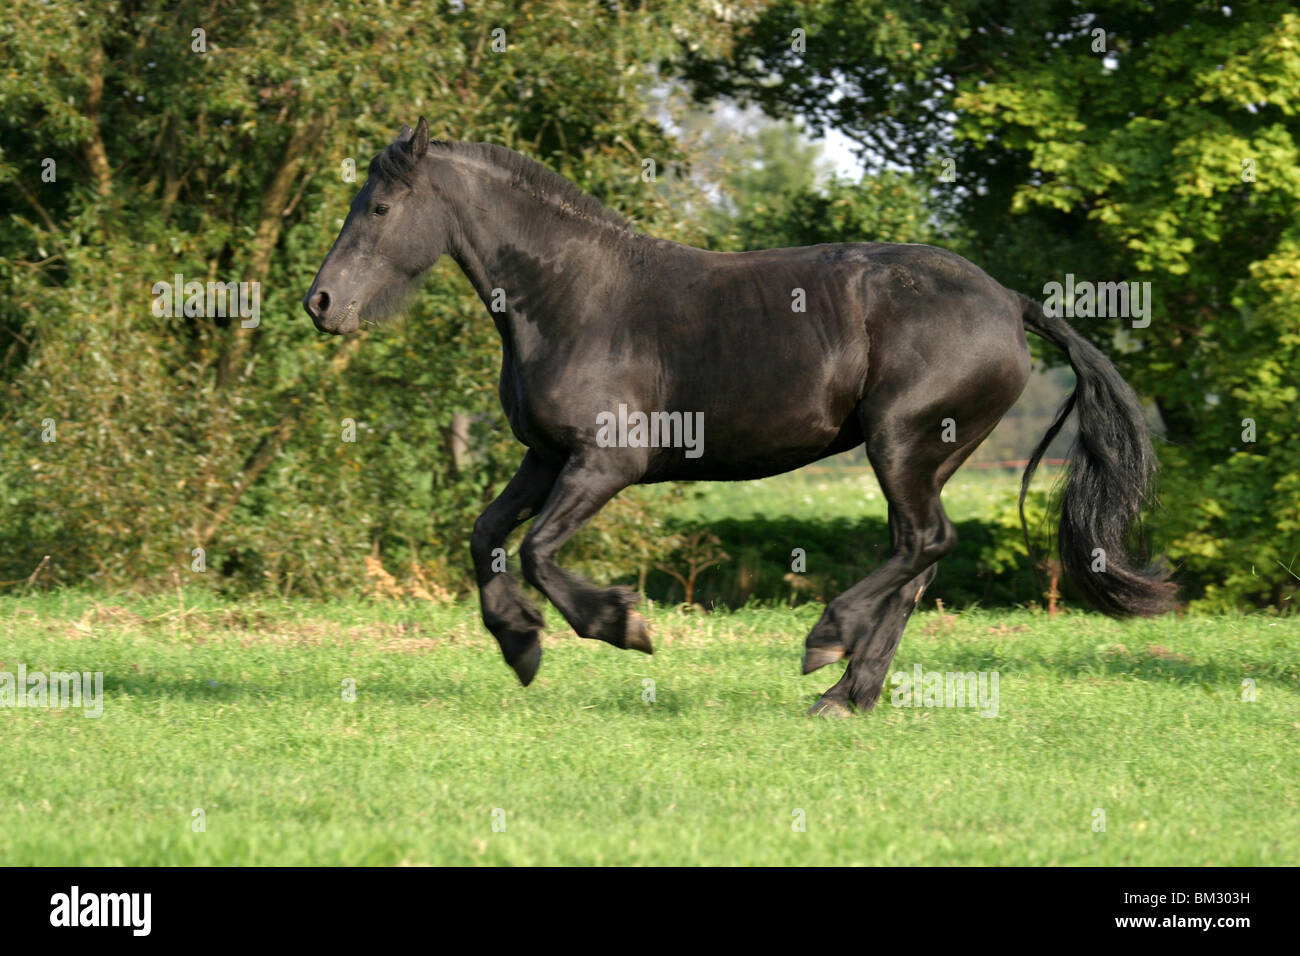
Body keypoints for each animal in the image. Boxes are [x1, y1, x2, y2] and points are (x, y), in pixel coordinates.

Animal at [304, 119, 1175, 715]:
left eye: (379, 207)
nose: (320, 304)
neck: (570, 299)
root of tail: (1009, 301)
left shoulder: (606, 463)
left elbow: (538, 552)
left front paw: (620, 624)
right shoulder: (544, 457)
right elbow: (486, 535)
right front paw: (520, 644)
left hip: (901, 445)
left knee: (923, 544)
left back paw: (826, 643)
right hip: (928, 458)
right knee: (919, 560)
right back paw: (846, 696)